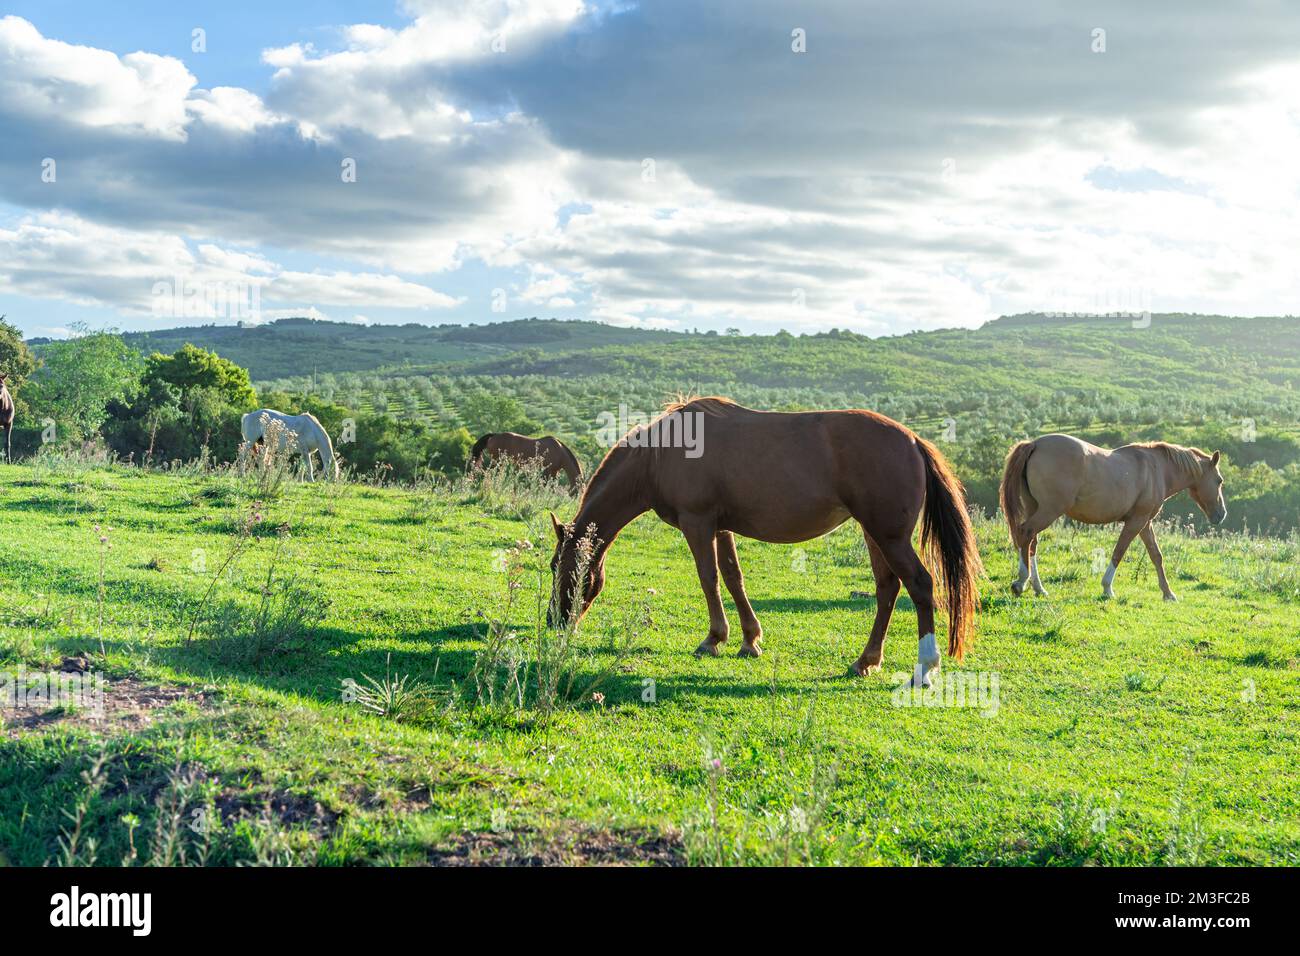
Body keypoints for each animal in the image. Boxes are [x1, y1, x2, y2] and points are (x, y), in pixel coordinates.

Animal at [547, 397, 982, 688]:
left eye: (559, 568)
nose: (555, 620)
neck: (660, 455)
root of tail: (913, 441)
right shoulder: (720, 527)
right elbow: (733, 577)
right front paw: (748, 640)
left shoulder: (697, 522)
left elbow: (708, 578)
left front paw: (713, 639)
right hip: (875, 535)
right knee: (888, 588)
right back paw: (866, 661)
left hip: (888, 536)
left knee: (921, 586)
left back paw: (925, 667)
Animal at [1000, 434, 1226, 601]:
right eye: (1219, 480)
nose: (1221, 514)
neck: (1157, 469)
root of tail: (1035, 444)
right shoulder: (1136, 522)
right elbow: (1119, 552)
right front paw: (1107, 588)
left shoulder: (1145, 523)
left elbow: (1156, 556)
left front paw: (1168, 593)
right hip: (1049, 511)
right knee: (1026, 533)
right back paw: (1021, 582)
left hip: (1036, 508)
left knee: (1031, 544)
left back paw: (1039, 588)